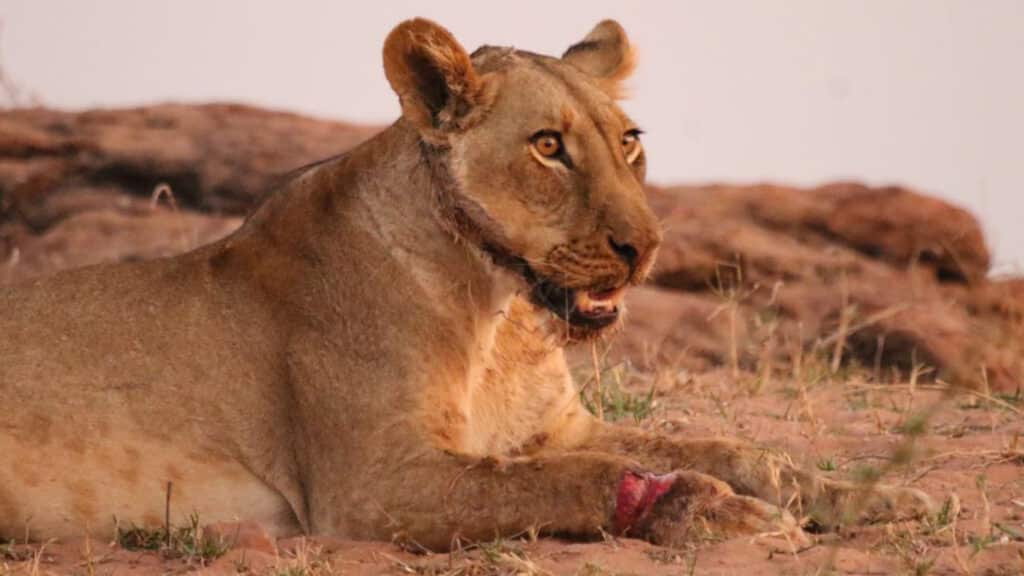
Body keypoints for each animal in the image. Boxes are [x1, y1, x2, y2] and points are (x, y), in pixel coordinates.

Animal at [0, 19, 932, 549]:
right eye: (549, 146)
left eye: (629, 140)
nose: (645, 247)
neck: (502, 313)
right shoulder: (373, 486)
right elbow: (575, 482)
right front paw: (721, 515)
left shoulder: (556, 428)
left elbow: (731, 449)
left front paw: (871, 497)